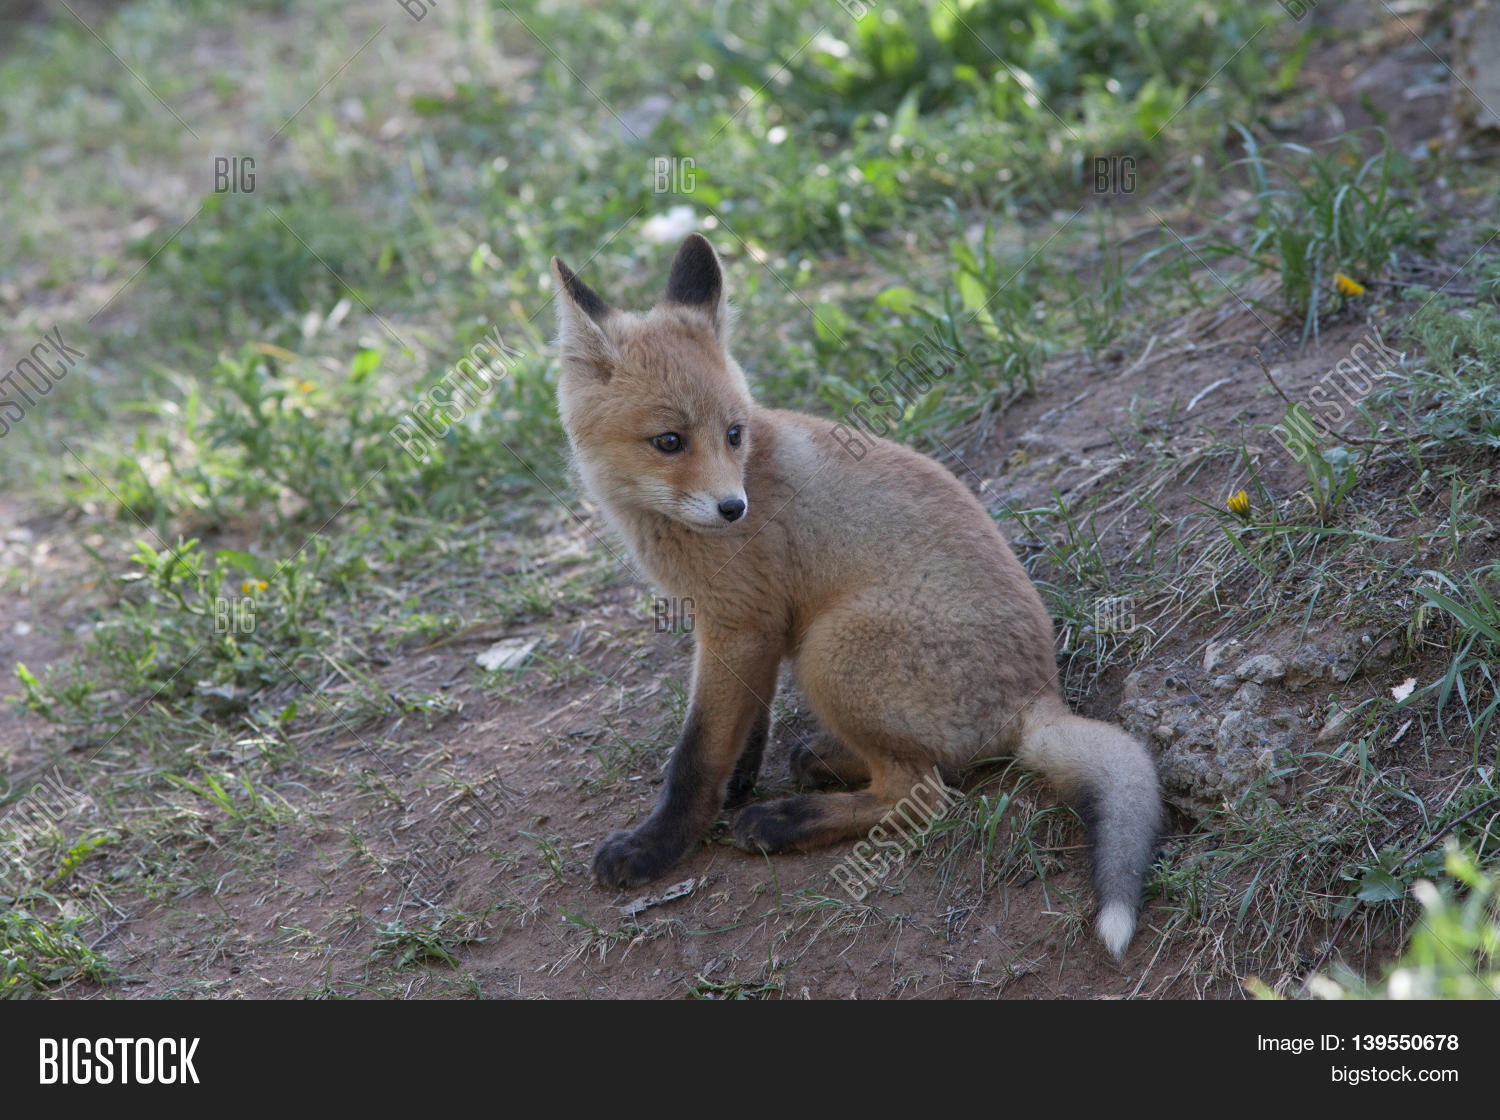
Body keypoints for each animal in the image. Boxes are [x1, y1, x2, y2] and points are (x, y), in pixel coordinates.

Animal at [550, 233, 1163, 959]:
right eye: (669, 442)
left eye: (732, 434)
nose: (733, 509)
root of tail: (1040, 700)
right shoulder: (762, 627)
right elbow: (745, 728)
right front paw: (738, 783)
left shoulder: (739, 623)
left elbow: (694, 758)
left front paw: (657, 846)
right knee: (915, 767)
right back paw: (820, 760)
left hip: (830, 651)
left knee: (922, 795)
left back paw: (783, 822)